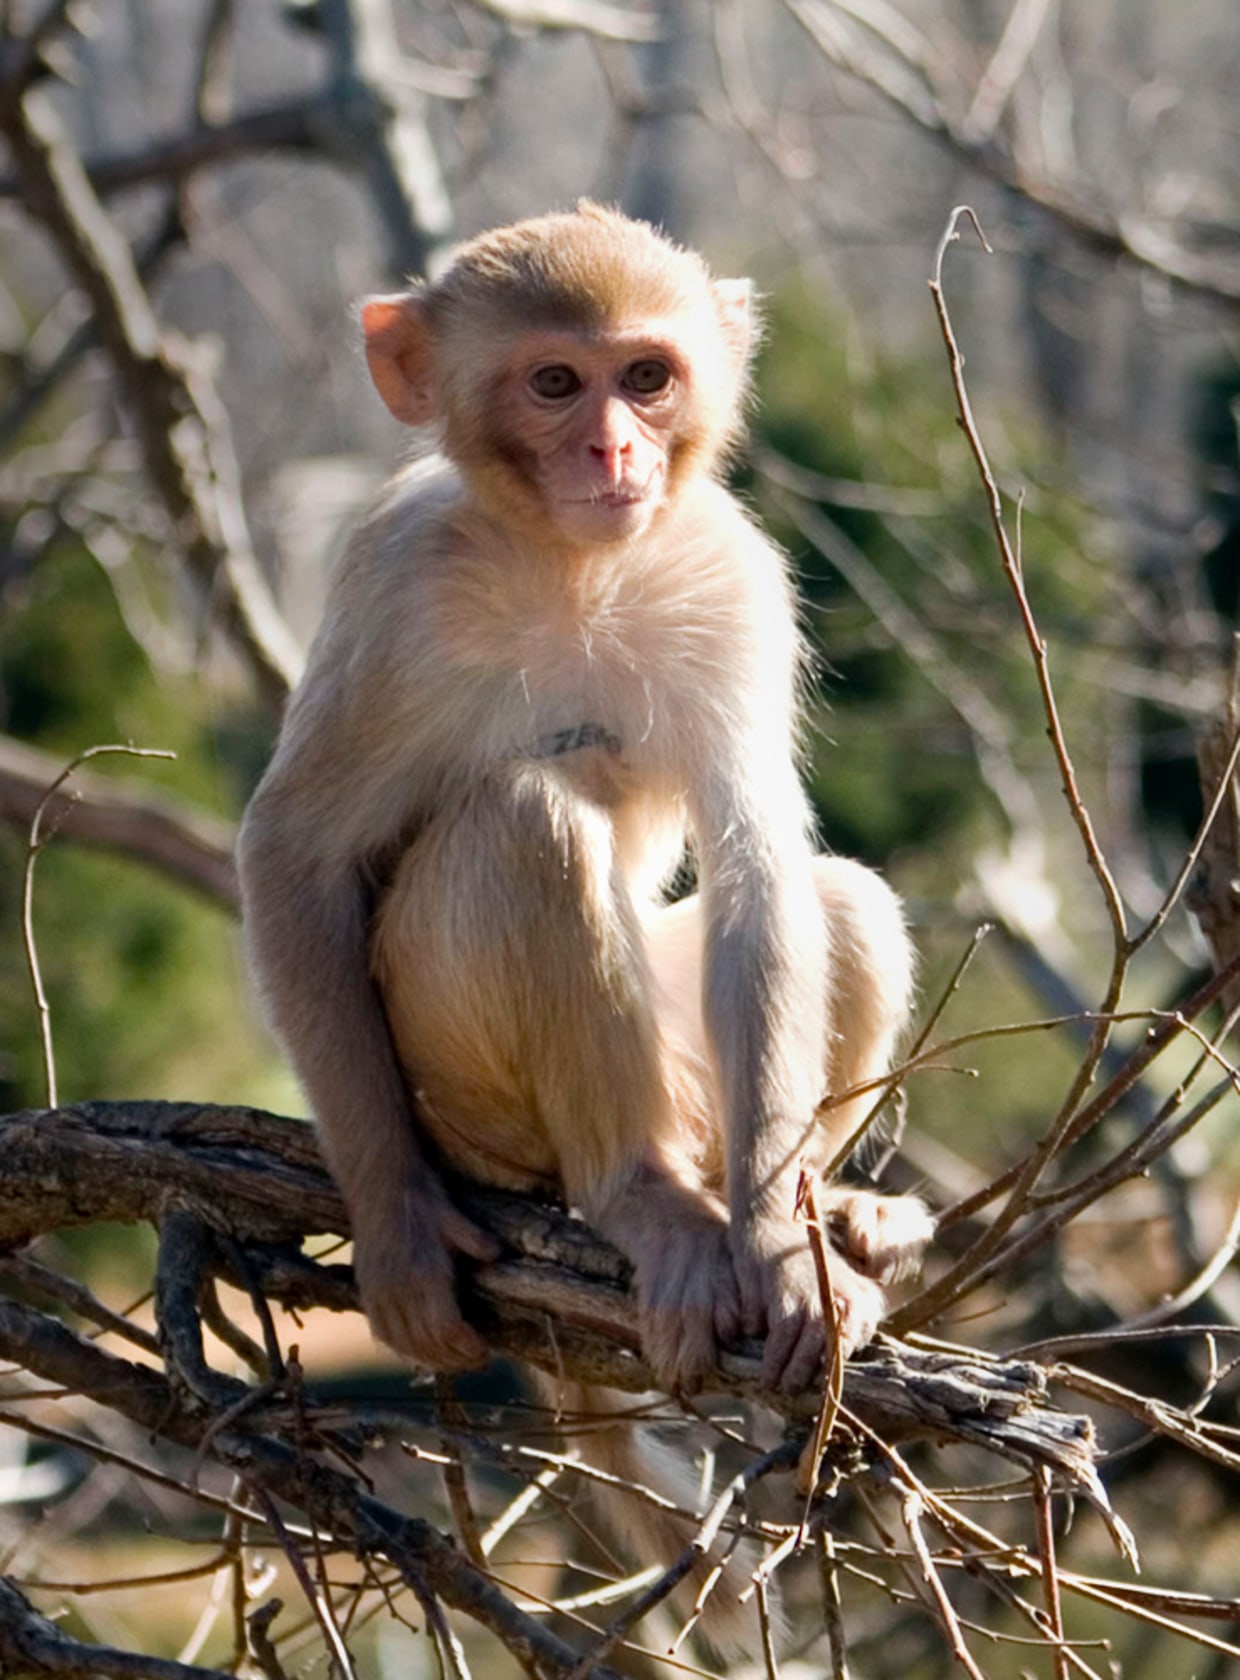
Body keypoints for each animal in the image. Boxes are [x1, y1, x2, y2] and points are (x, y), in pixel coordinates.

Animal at [238, 202, 931, 1645]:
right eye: (555, 382)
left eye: (646, 376)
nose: (613, 448)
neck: (572, 564)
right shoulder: (393, 583)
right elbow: (295, 855)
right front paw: (393, 1223)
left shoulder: (732, 576)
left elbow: (761, 869)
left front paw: (779, 1244)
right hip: (467, 1101)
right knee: (523, 822)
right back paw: (642, 1202)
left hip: (698, 1077)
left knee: (840, 899)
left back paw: (817, 1207)